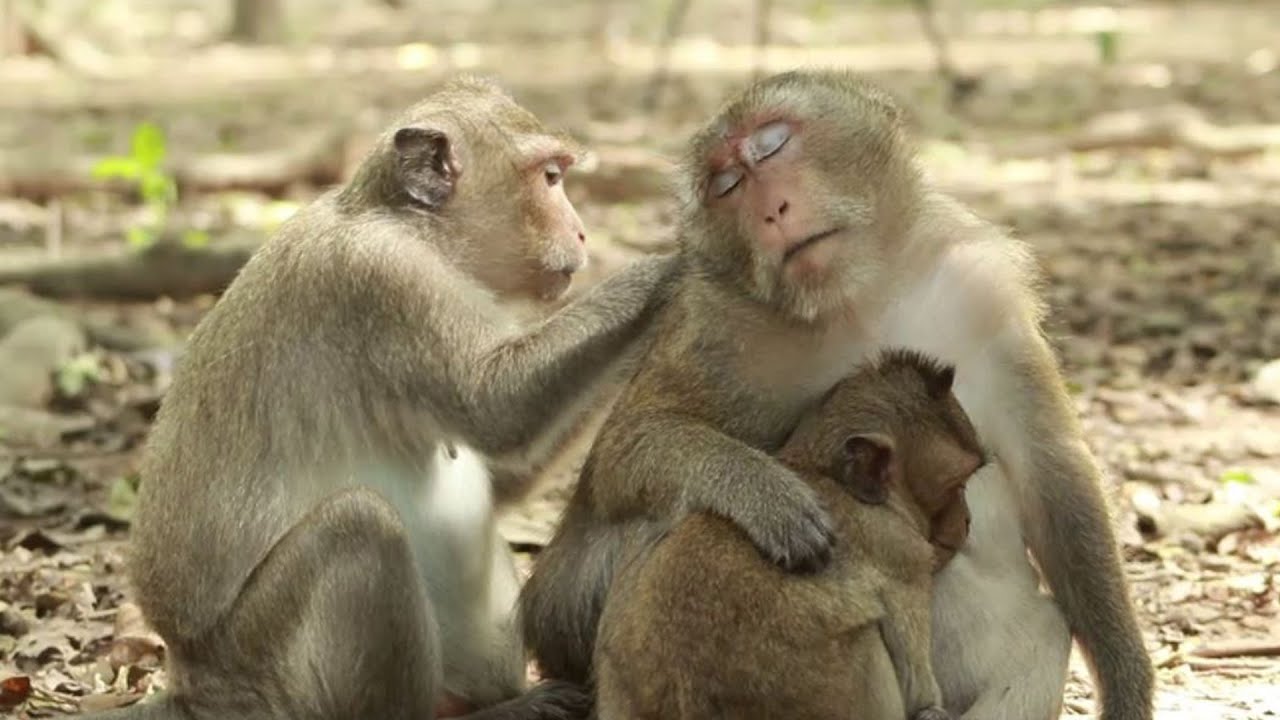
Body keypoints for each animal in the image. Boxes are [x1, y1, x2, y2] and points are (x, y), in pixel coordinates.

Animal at [85, 77, 678, 720]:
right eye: (549, 177)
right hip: (264, 669)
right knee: (359, 526)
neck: (412, 230)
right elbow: (497, 408)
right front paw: (671, 266)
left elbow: (506, 474)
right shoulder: (385, 280)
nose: (582, 230)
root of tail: (192, 683)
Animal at [594, 349, 982, 720]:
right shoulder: (899, 550)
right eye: (956, 486)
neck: (828, 473)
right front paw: (930, 708)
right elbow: (915, 679)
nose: (966, 520)